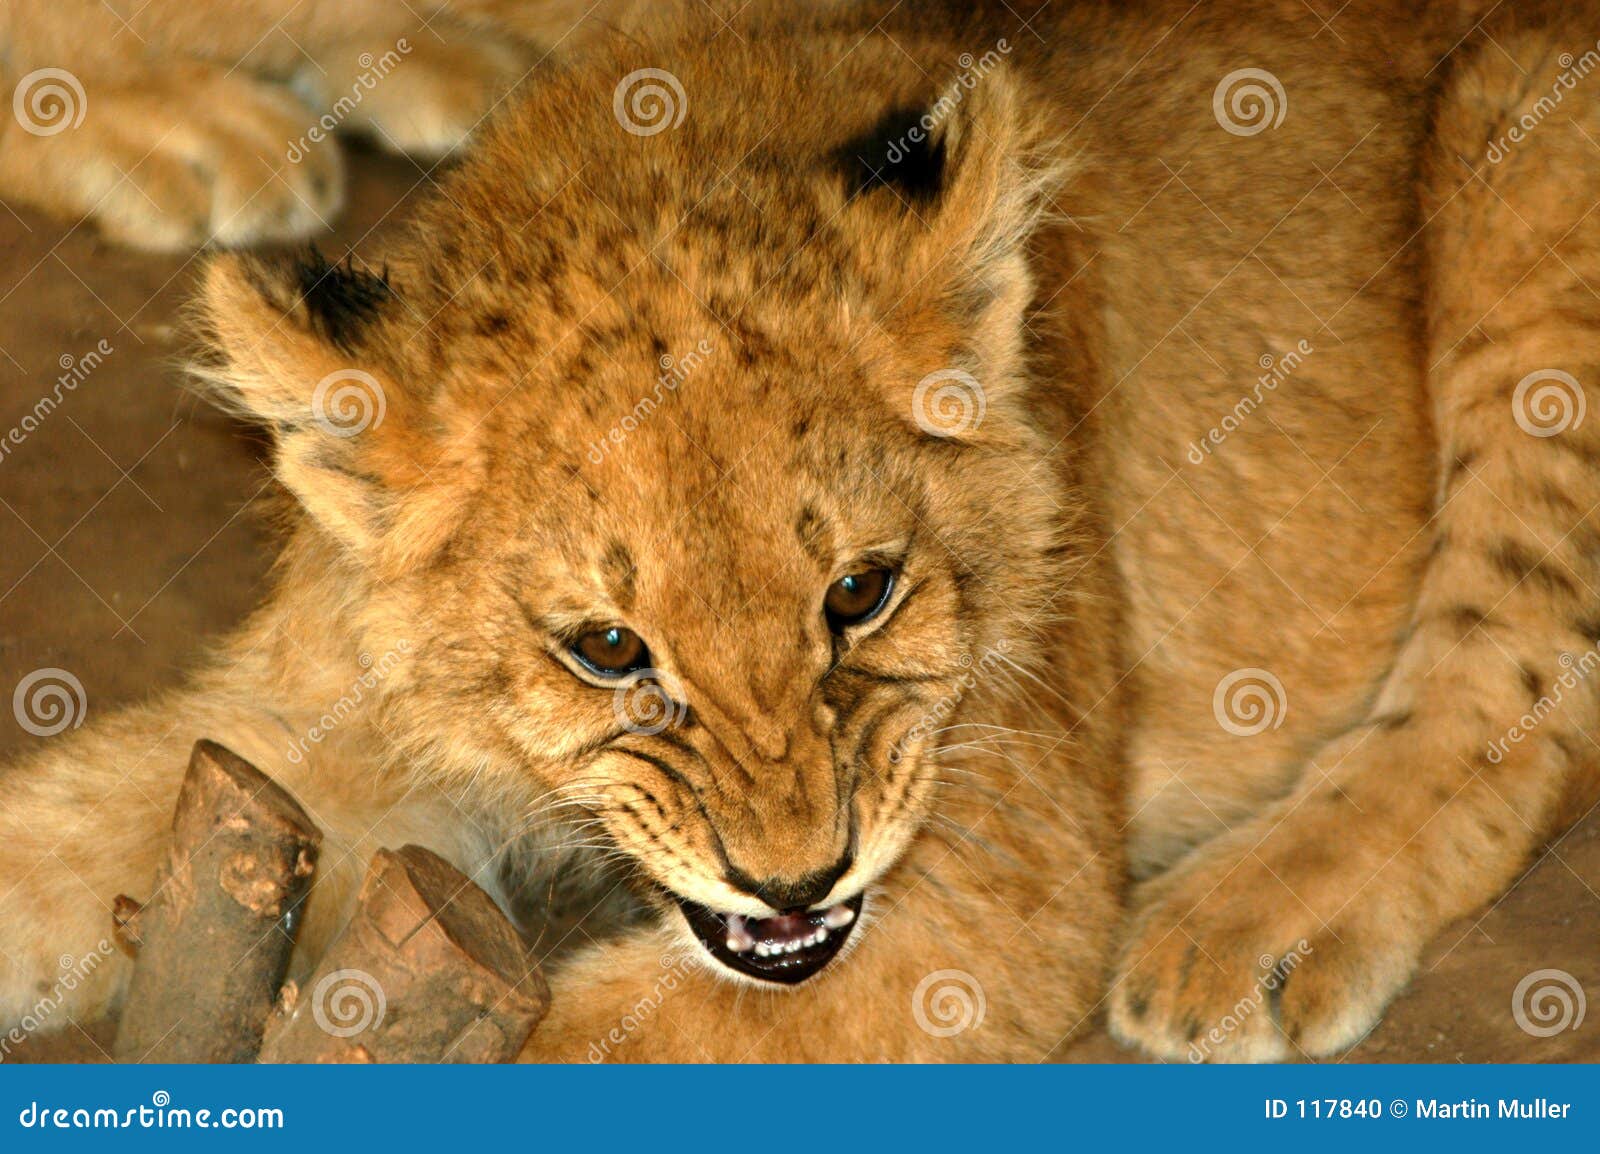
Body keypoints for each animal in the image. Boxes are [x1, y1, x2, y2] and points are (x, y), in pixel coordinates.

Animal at [2, 0, 1598, 1063]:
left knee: (1521, 697)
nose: (795, 881)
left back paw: (1245, 923)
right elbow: (67, 828)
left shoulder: (989, 908)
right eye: (606, 648)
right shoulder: (311, 724)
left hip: (1522, 135)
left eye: (861, 592)